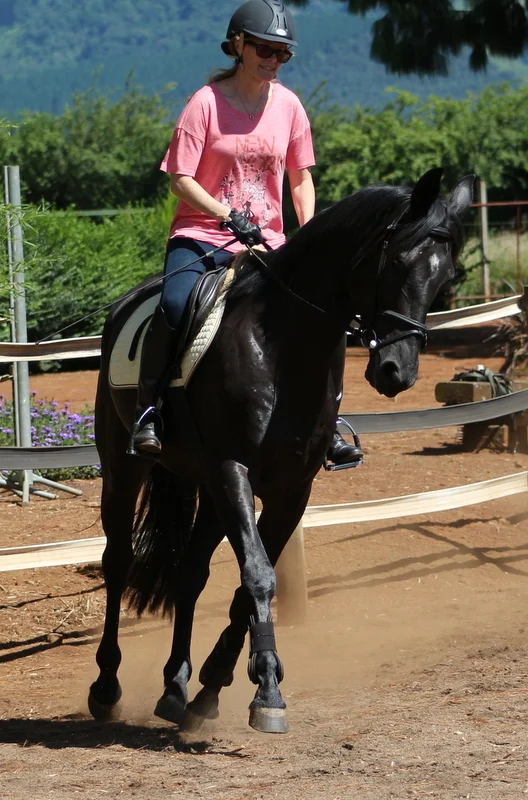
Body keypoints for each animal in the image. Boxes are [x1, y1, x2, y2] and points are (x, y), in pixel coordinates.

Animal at [88, 167, 473, 734]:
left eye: (444, 277)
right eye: (399, 261)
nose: (396, 372)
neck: (281, 350)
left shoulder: (292, 488)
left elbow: (247, 584)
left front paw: (214, 687)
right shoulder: (234, 470)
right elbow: (258, 576)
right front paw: (266, 690)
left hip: (207, 489)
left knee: (190, 572)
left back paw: (175, 688)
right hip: (124, 469)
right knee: (117, 562)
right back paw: (106, 687)